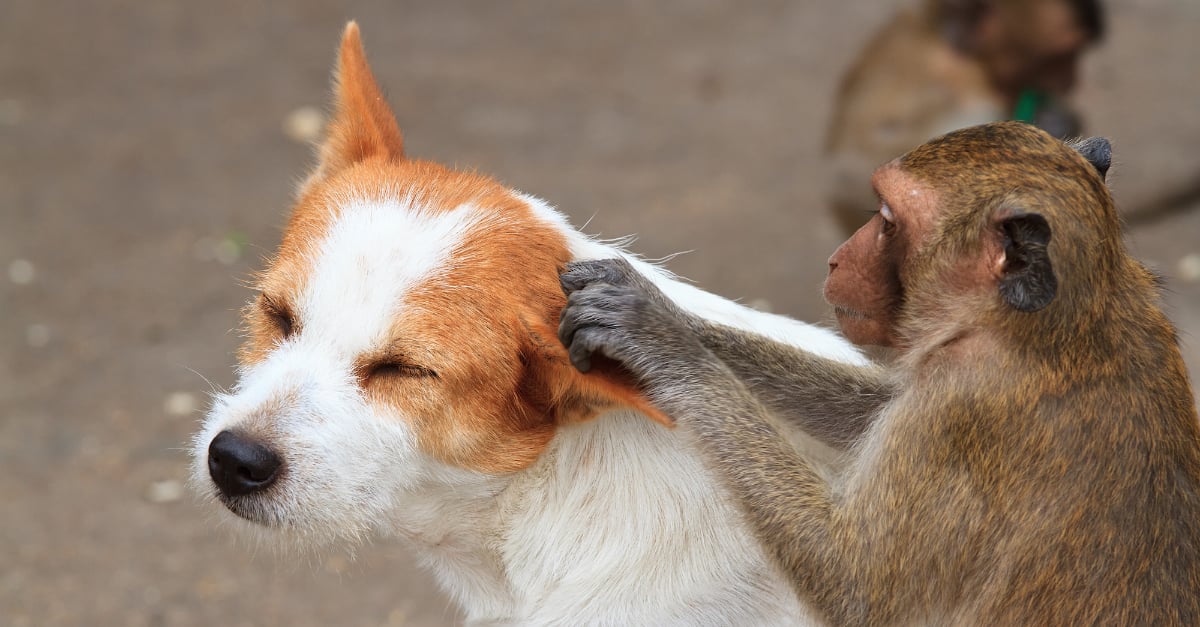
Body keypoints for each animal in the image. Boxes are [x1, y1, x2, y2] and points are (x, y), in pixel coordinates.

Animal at [557, 122, 1200, 625]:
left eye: (887, 220)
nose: (837, 258)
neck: (1067, 319)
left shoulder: (960, 412)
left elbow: (852, 587)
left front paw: (661, 342)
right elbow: (870, 412)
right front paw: (677, 318)